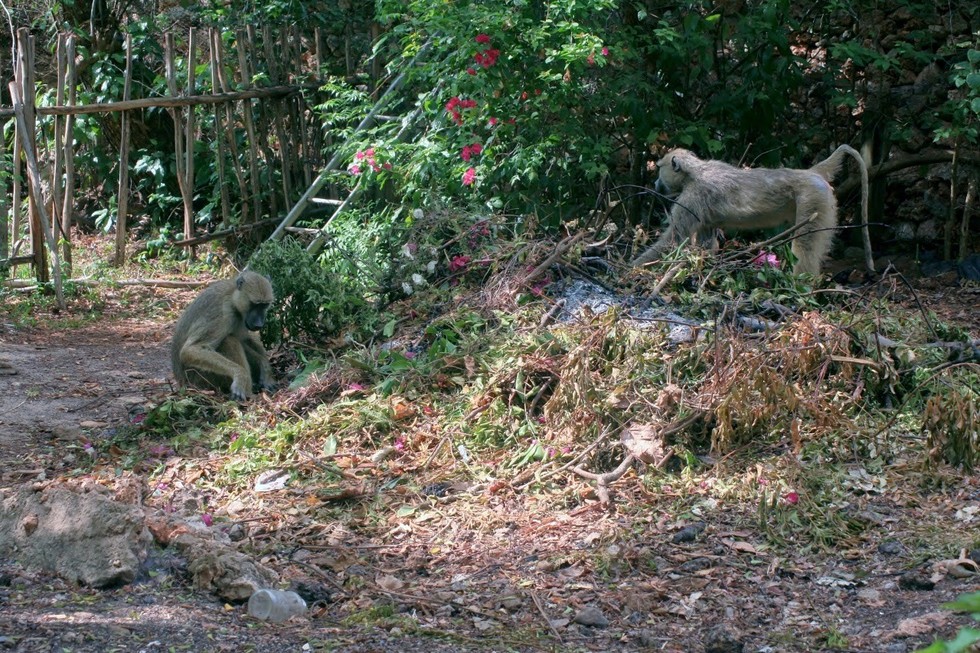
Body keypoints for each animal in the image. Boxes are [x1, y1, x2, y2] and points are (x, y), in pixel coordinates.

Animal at [171, 270, 275, 401]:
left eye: (264, 305)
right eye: (255, 305)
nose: (259, 323)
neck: (232, 297)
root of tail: (182, 382)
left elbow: (244, 340)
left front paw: (265, 367)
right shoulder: (223, 314)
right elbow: (191, 350)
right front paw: (240, 375)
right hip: (201, 379)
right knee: (229, 340)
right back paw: (249, 394)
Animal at [632, 145, 874, 275]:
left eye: (660, 168)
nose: (655, 184)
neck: (695, 171)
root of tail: (811, 173)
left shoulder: (693, 196)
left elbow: (672, 238)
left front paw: (632, 268)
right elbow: (706, 245)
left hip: (814, 199)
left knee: (805, 248)